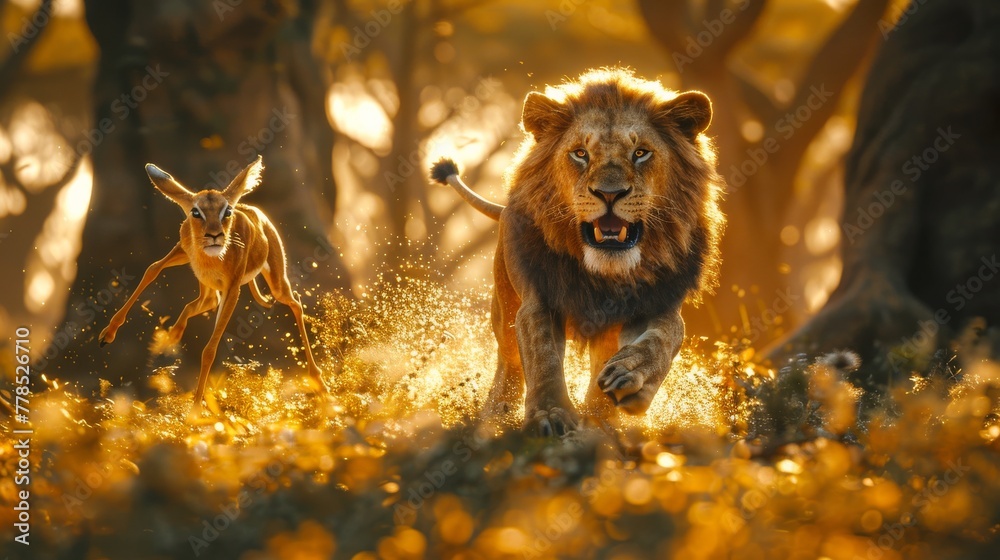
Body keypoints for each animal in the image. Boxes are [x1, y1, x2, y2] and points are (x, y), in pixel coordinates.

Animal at [431, 68, 725, 436]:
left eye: (640, 153)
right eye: (581, 154)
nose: (609, 193)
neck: (606, 272)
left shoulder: (659, 304)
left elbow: (662, 340)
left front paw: (631, 380)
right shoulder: (538, 300)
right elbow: (543, 355)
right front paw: (550, 413)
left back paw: (600, 416)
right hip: (504, 310)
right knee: (509, 364)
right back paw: (496, 415)